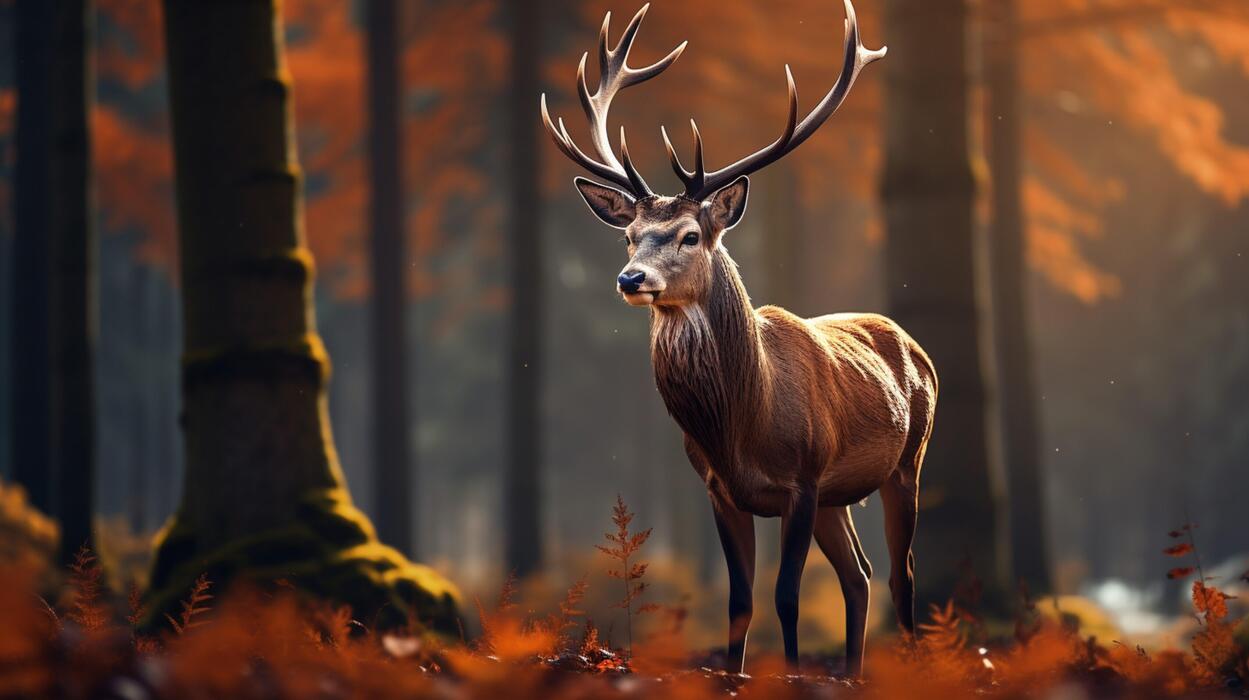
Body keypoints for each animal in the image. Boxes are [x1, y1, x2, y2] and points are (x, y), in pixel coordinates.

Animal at [541, 0, 936, 677]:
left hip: (907, 461)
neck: (743, 426)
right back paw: (852, 672)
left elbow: (786, 597)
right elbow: (740, 601)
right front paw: (734, 675)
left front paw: (795, 675)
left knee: (901, 575)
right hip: (838, 497)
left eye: (689, 235)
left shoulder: (801, 481)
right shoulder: (720, 491)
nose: (630, 278)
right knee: (858, 575)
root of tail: (916, 348)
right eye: (629, 237)